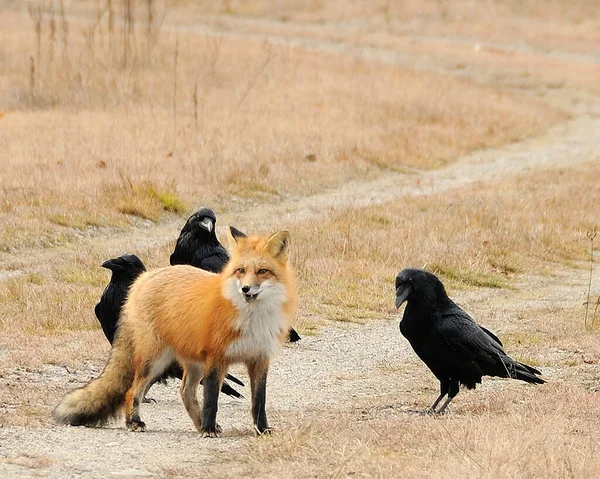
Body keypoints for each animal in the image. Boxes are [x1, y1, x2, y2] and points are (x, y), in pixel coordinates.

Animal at [52, 227, 296, 436]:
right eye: (241, 271)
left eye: (262, 271)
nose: (245, 289)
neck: (252, 318)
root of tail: (143, 278)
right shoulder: (216, 358)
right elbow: (211, 399)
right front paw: (208, 430)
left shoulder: (260, 359)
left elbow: (259, 402)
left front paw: (261, 430)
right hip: (155, 360)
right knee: (133, 391)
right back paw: (135, 422)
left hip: (192, 363)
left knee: (185, 393)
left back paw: (198, 424)